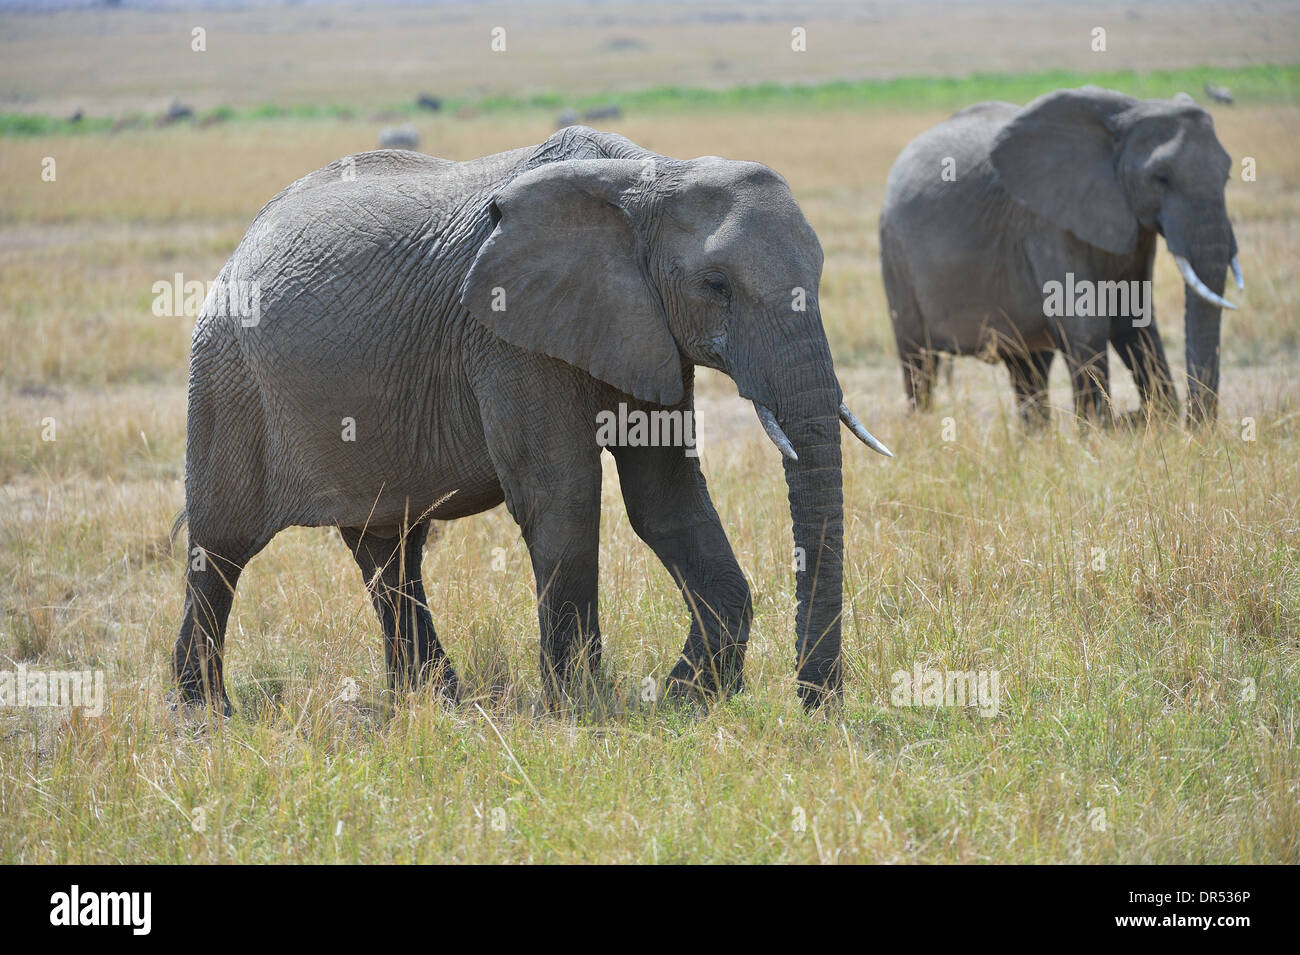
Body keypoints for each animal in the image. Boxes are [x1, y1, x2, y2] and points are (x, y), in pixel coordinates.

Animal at [171, 125, 891, 717]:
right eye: (716, 285)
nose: (816, 706)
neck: (651, 176)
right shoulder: (505, 333)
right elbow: (563, 493)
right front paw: (585, 706)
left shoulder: (647, 329)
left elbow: (665, 500)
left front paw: (687, 698)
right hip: (227, 376)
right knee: (222, 546)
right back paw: (206, 714)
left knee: (388, 548)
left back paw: (434, 702)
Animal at [880, 87, 1242, 427]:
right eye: (1161, 177)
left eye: (1227, 175)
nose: (1195, 429)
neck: (1128, 112)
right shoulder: (1047, 223)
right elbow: (1085, 324)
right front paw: (1101, 433)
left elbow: (1134, 318)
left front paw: (1153, 422)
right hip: (894, 252)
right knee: (918, 359)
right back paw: (923, 426)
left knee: (1028, 367)